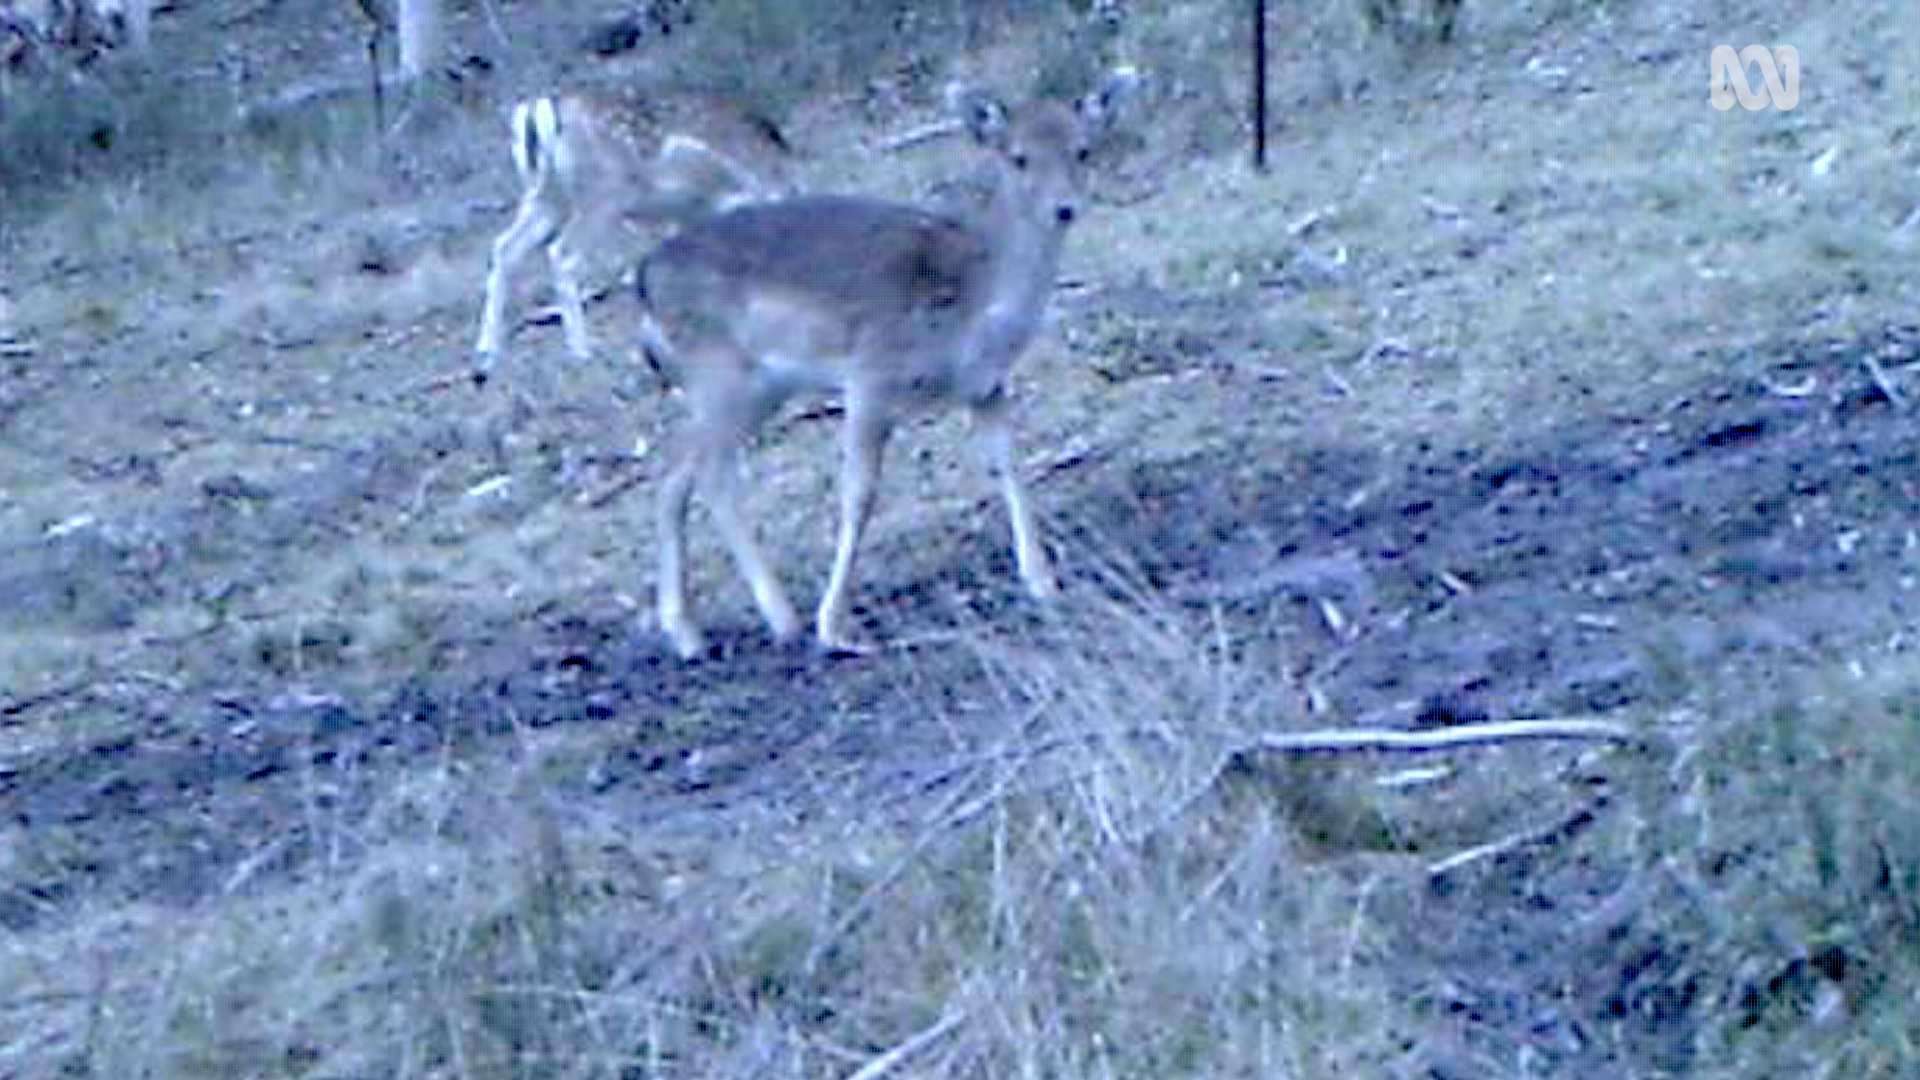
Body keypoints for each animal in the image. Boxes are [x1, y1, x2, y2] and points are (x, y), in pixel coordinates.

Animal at [471, 89, 793, 385]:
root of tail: (538, 113)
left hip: (546, 196)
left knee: (504, 248)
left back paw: (486, 355)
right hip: (600, 197)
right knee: (562, 254)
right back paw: (582, 350)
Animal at [636, 69, 1141, 659]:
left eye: (1083, 149)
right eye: (1017, 157)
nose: (1064, 208)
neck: (975, 300)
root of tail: (643, 282)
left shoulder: (985, 385)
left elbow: (1009, 464)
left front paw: (1041, 580)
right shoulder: (870, 375)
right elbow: (859, 493)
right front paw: (834, 625)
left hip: (752, 387)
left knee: (674, 472)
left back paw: (687, 631)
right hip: (720, 372)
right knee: (713, 477)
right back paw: (783, 618)